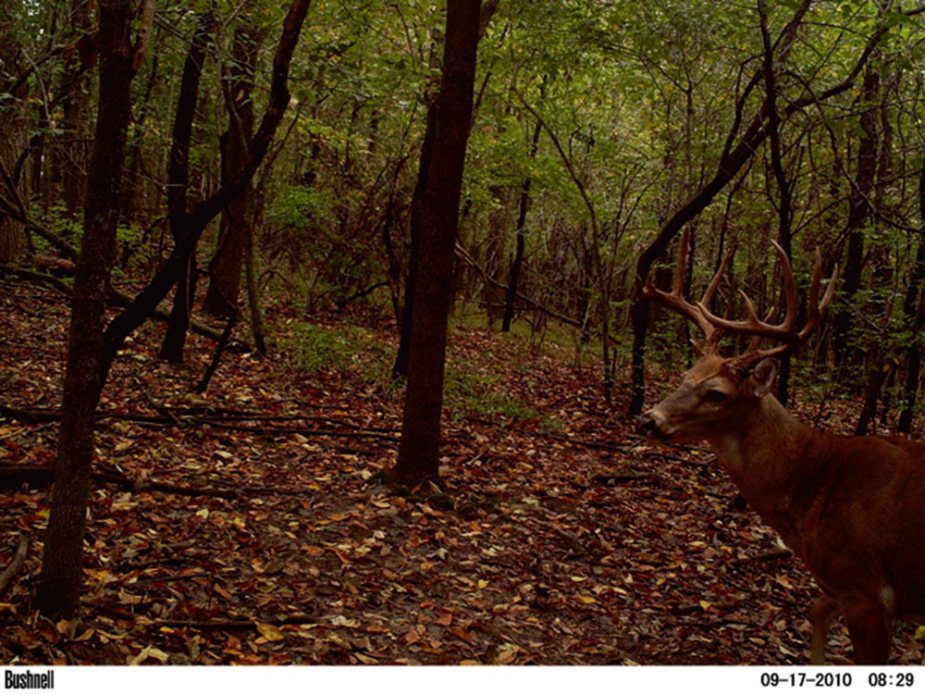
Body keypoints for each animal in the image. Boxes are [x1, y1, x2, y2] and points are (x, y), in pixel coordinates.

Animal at [635, 230, 925, 664]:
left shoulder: (866, 590)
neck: (820, 483)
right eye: (686, 375)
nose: (649, 420)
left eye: (717, 393)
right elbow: (815, 612)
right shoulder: (840, 587)